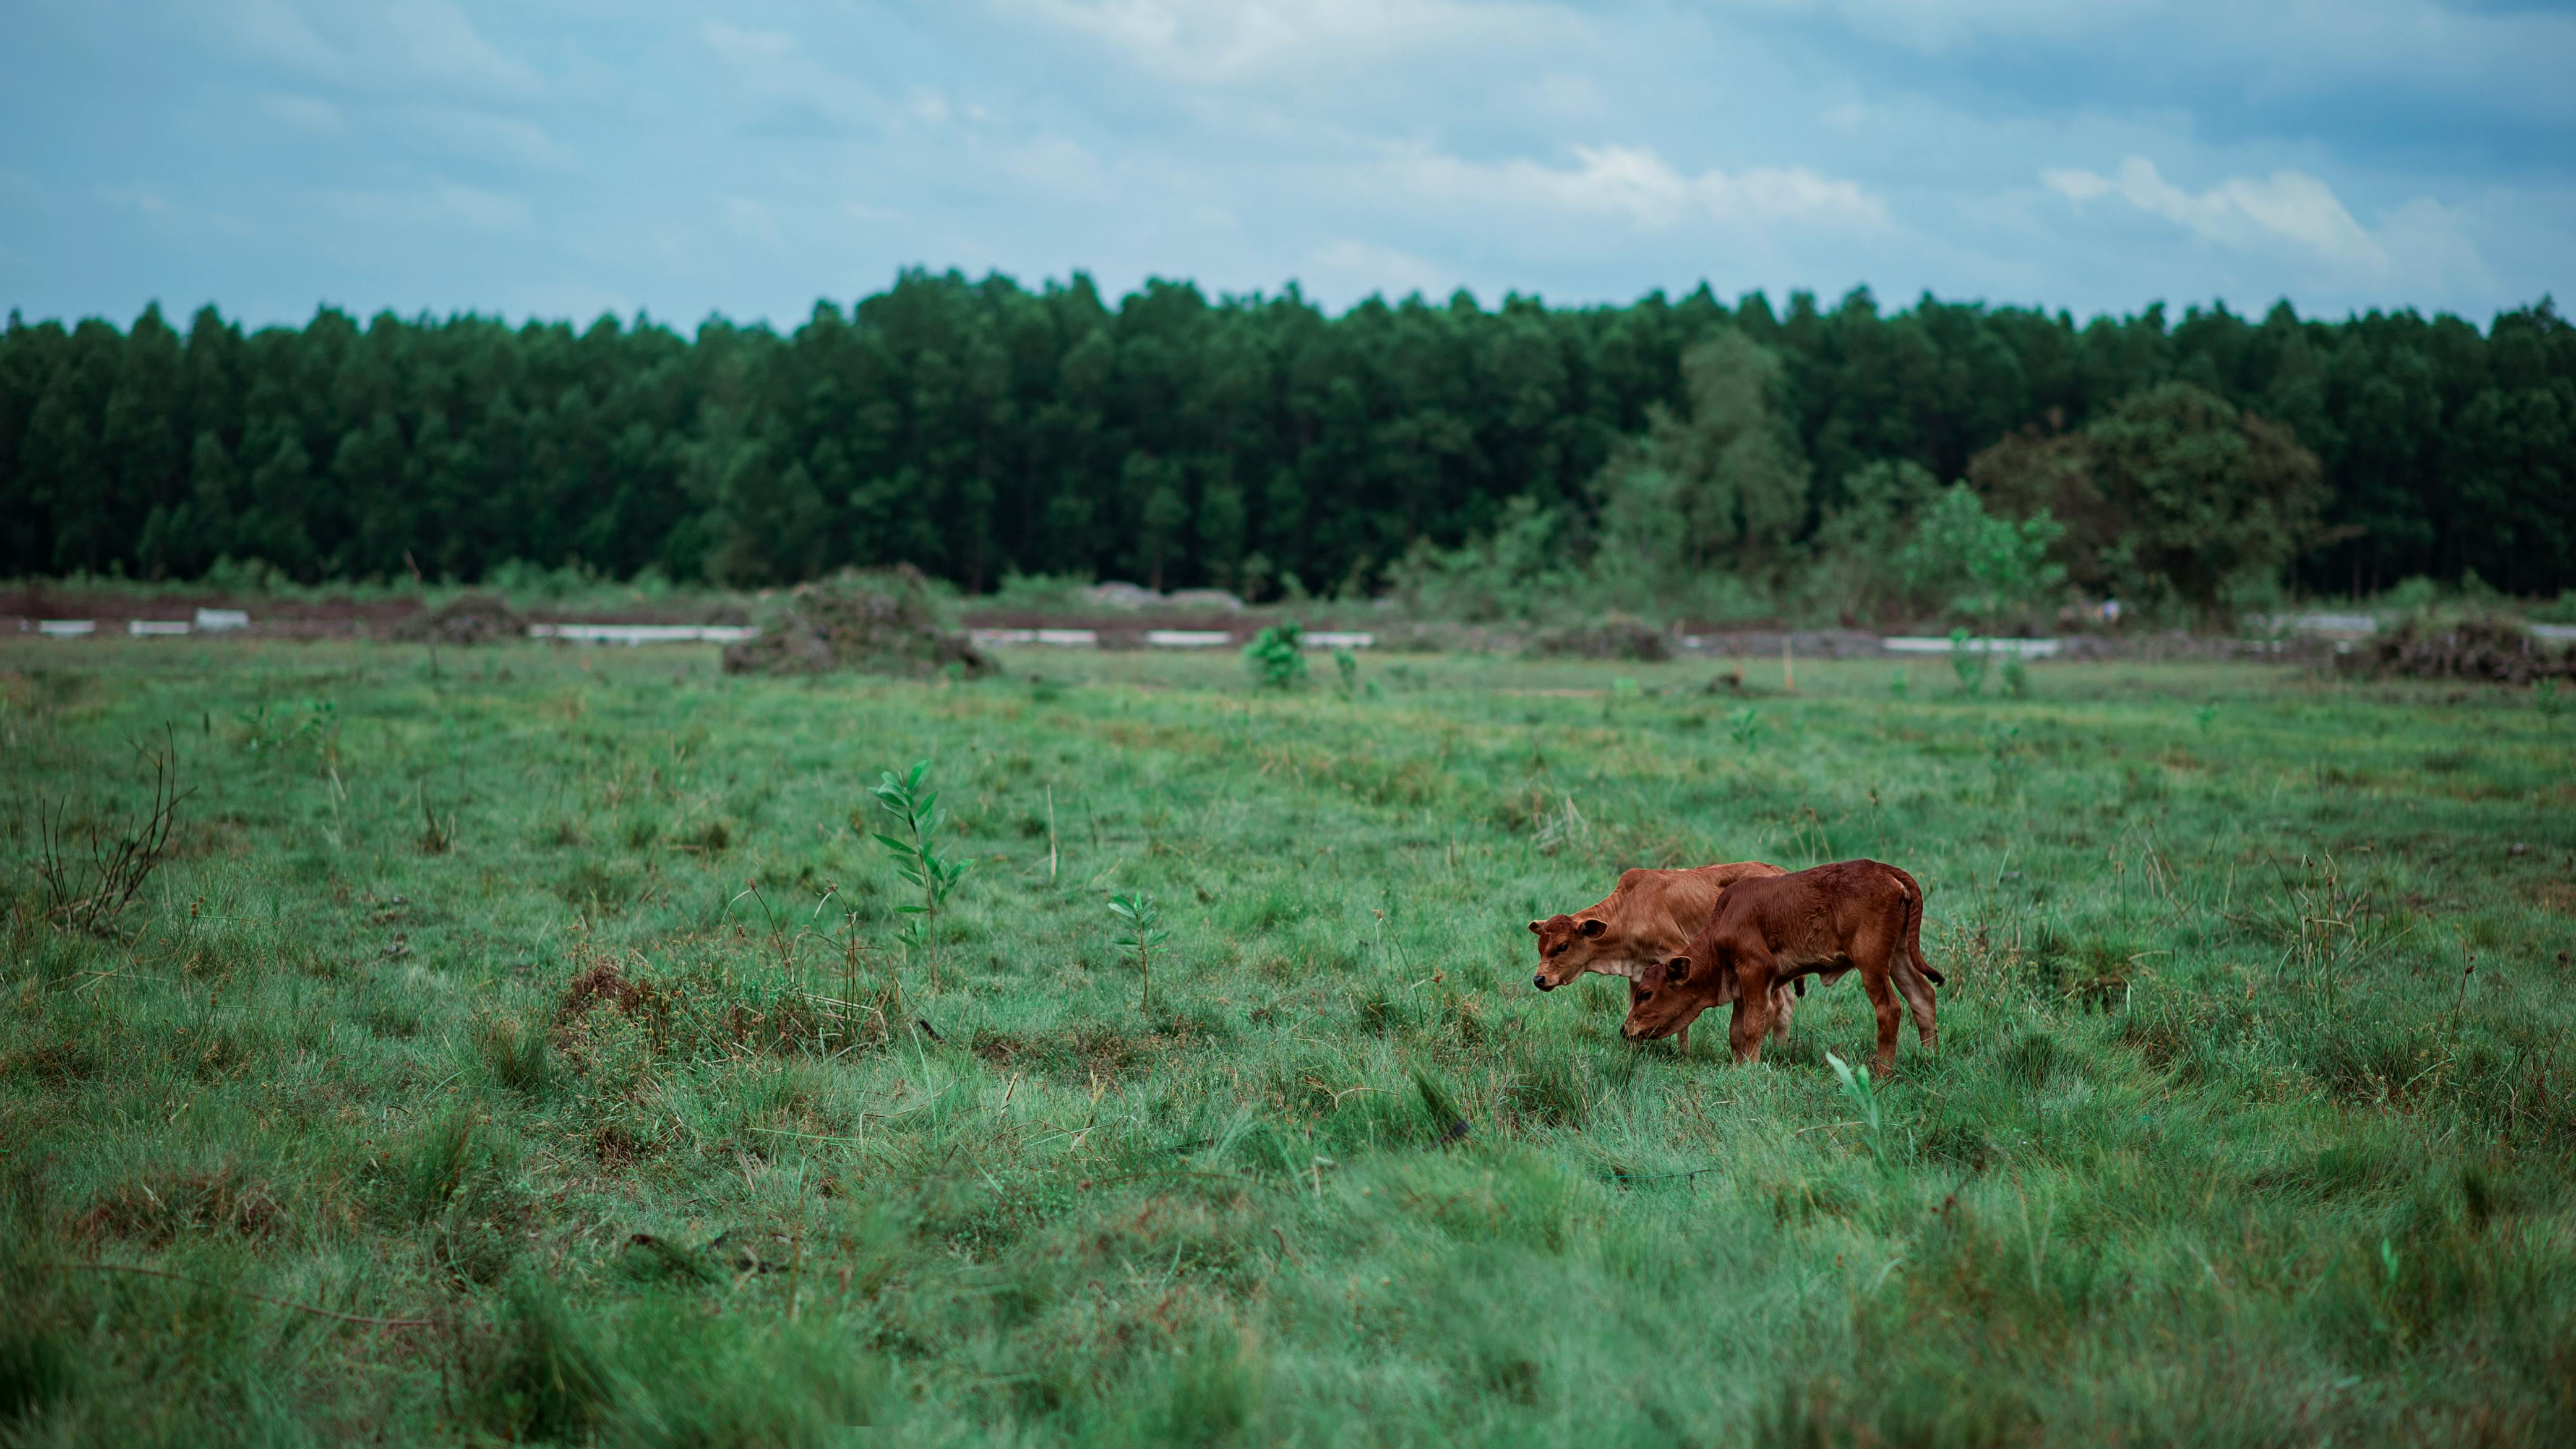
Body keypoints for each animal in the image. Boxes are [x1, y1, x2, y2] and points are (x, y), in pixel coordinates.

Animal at [1619, 859, 1942, 1079]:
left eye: (1645, 994)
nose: (1624, 1030)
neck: (1723, 923)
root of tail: (1886, 870)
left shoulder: (1756, 971)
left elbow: (1752, 1028)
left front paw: (1748, 1069)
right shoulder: (1740, 985)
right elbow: (1736, 1032)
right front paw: (1739, 1067)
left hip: (1872, 963)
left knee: (1890, 1009)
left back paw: (1881, 1073)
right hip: (1899, 956)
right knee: (1922, 997)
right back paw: (1929, 1059)